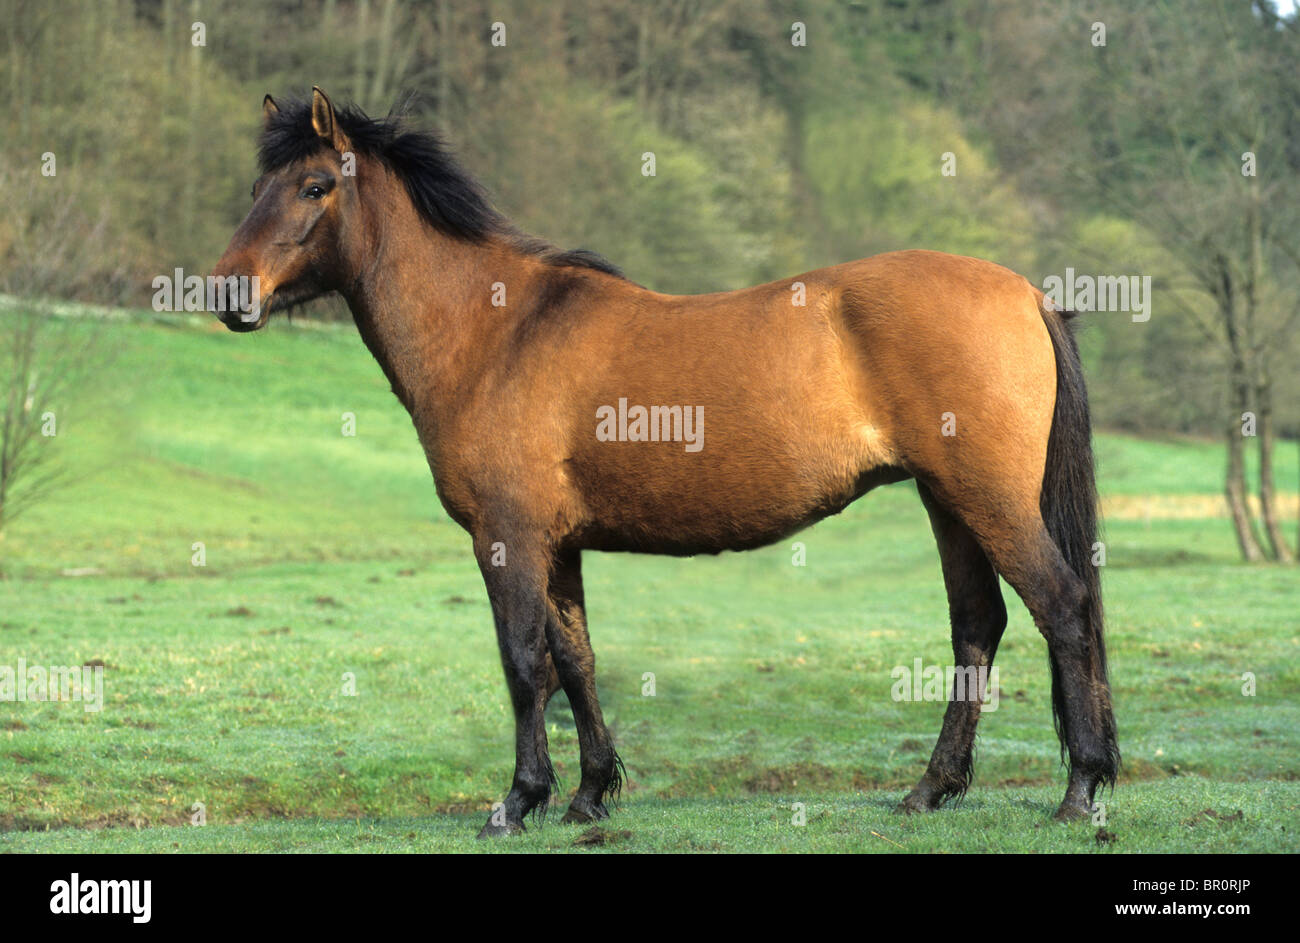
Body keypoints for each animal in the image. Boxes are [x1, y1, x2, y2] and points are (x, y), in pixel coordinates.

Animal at [212, 88, 1119, 837]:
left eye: (315, 186)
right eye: (259, 186)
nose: (225, 292)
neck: (499, 331)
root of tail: (1025, 293)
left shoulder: (508, 537)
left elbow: (523, 663)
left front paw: (518, 800)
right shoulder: (559, 545)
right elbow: (576, 660)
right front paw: (587, 795)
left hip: (988, 498)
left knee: (1062, 608)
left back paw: (1078, 790)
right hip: (947, 500)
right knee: (978, 627)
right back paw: (930, 790)